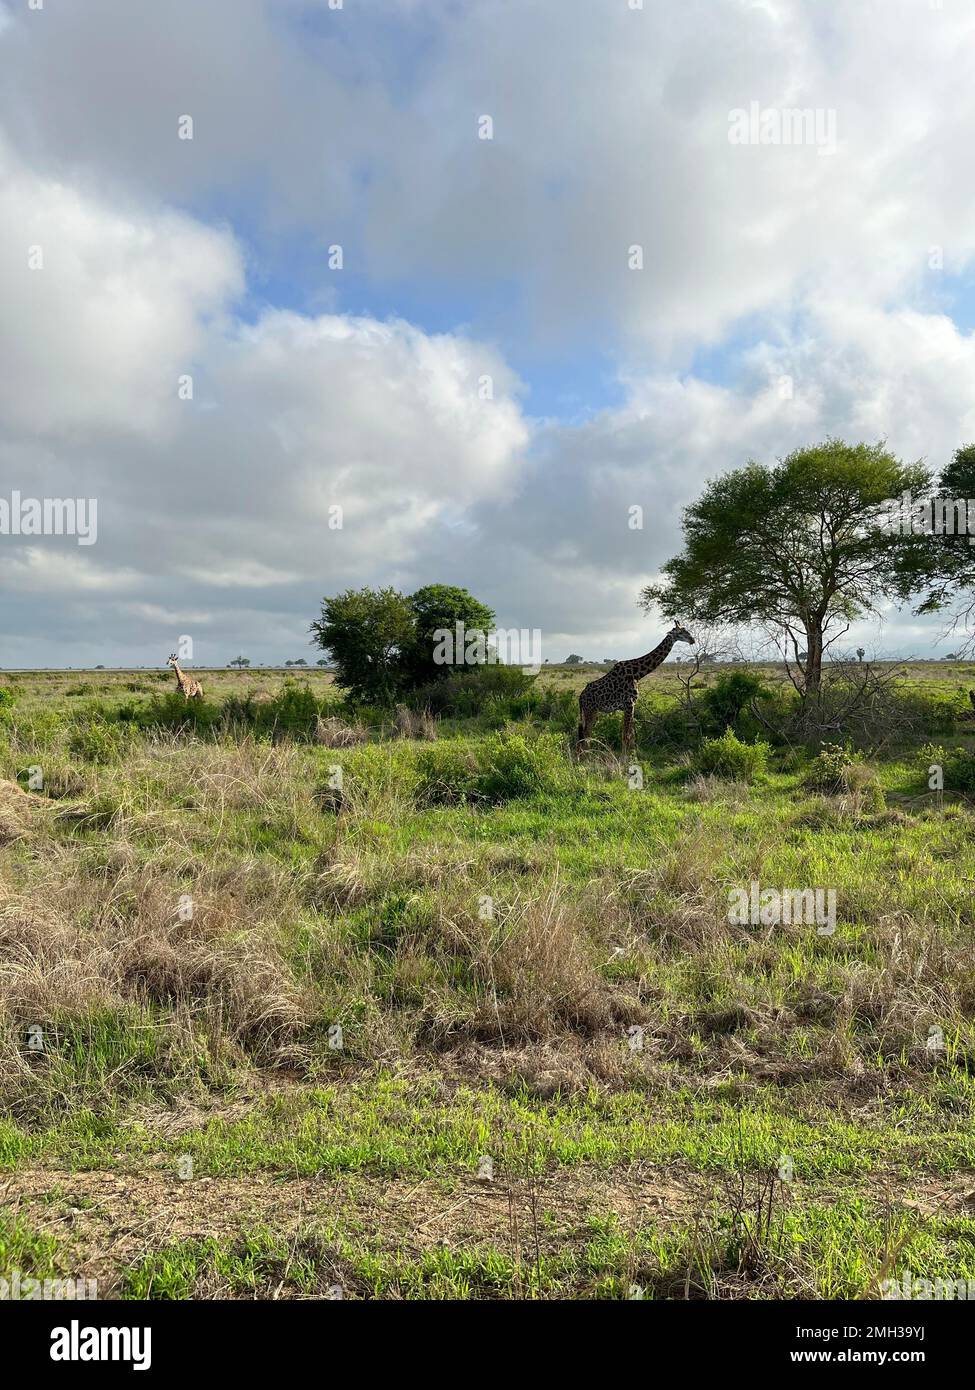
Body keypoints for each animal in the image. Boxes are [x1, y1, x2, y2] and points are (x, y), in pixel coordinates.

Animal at [576, 624, 695, 753]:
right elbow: (626, 735)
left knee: (584, 735)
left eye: (686, 630)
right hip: (590, 711)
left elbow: (632, 736)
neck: (637, 673)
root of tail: (580, 697)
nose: (692, 640)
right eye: (680, 632)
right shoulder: (628, 704)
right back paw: (586, 756)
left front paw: (633, 756)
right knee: (585, 735)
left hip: (591, 711)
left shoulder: (632, 705)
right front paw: (623, 757)